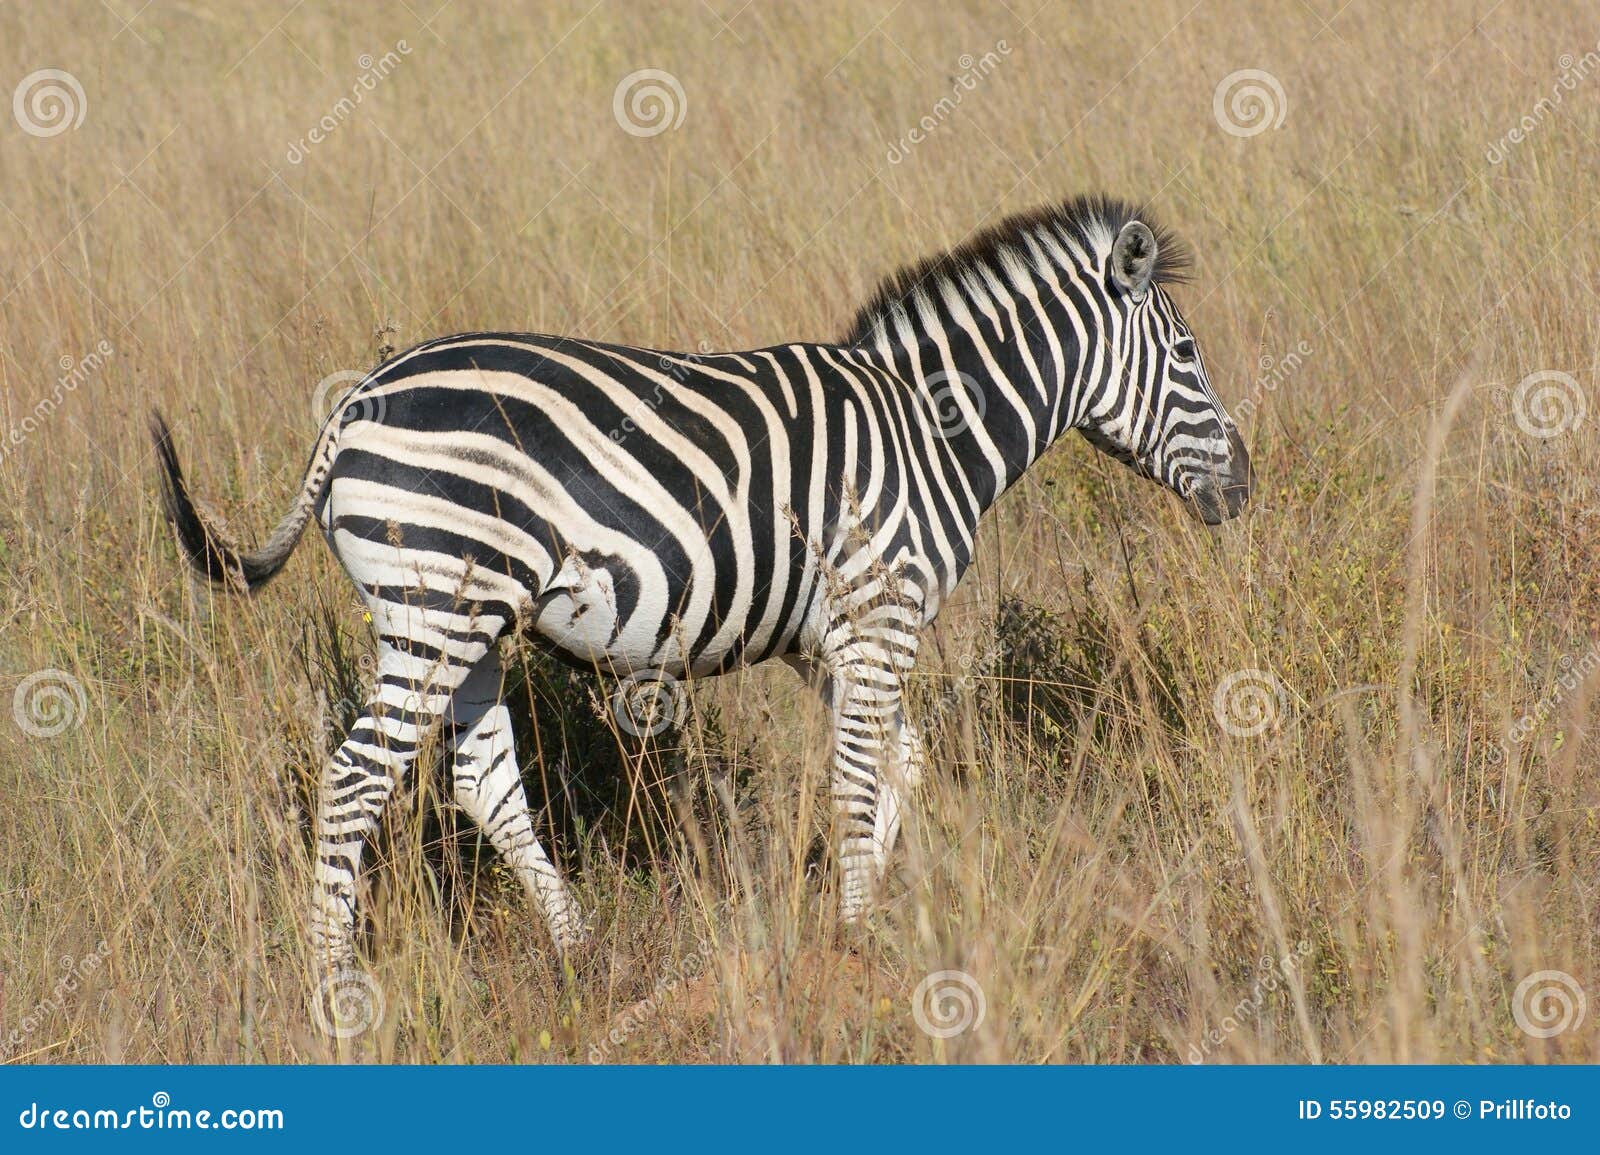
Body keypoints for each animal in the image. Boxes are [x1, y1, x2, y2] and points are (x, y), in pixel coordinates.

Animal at [152, 194, 1250, 965]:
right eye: (1190, 352)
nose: (1243, 484)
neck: (930, 429)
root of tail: (355, 404)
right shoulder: (877, 617)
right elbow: (860, 776)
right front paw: (859, 935)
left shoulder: (831, 642)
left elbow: (902, 762)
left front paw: (876, 910)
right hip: (436, 608)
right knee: (353, 780)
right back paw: (335, 987)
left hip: (470, 620)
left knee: (481, 779)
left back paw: (581, 953)